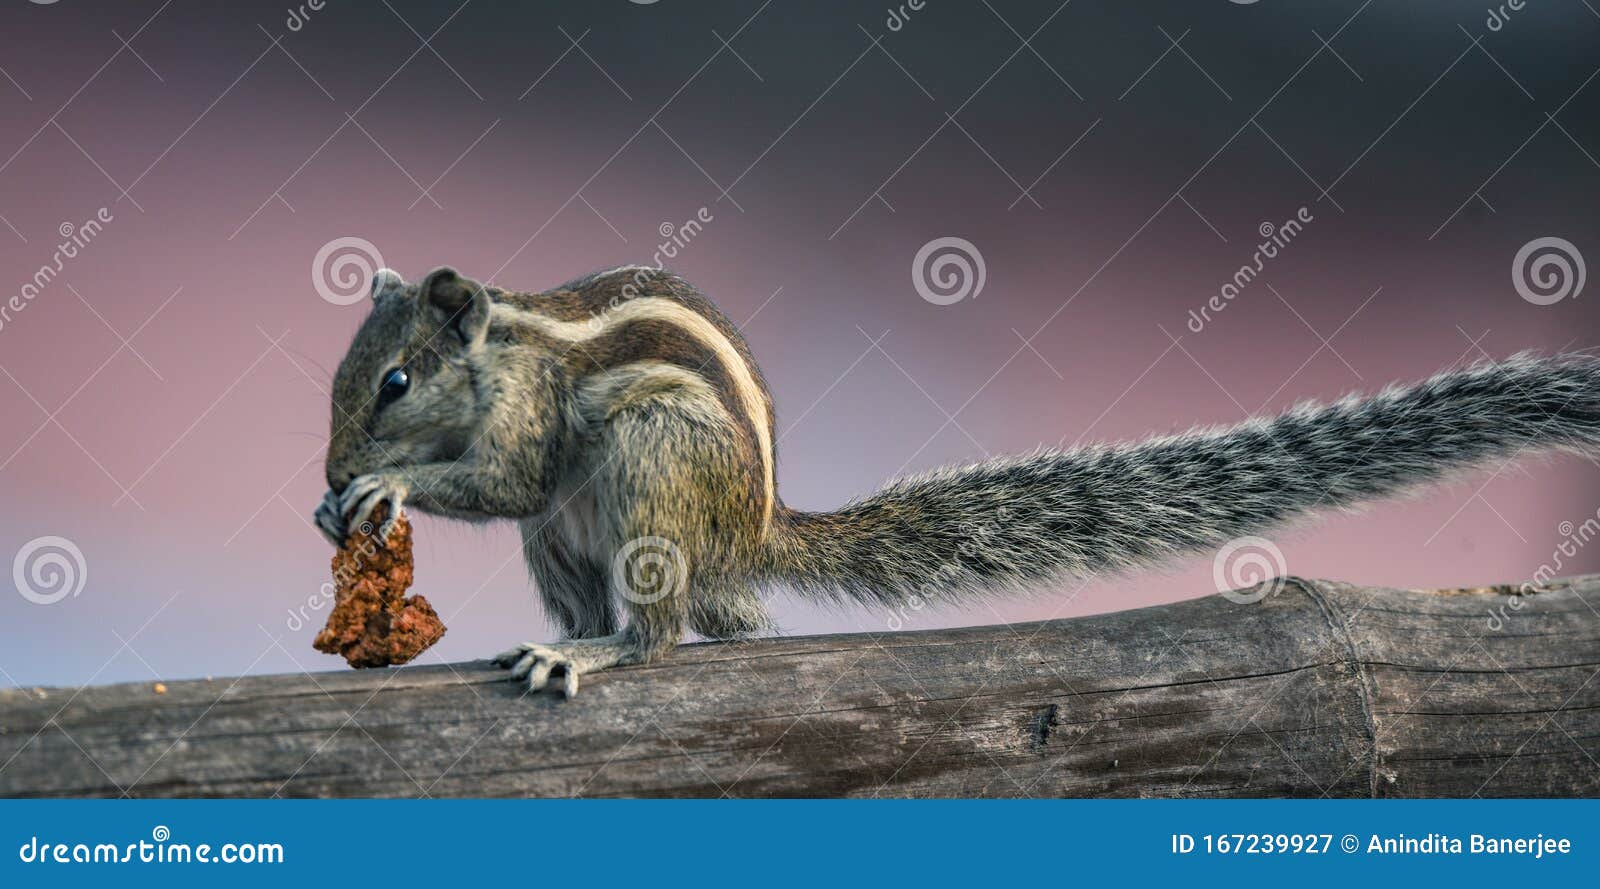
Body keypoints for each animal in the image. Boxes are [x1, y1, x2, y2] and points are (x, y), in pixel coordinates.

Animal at [315, 264, 1600, 696]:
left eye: (393, 381)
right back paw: (558, 637)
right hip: (579, 540)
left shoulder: (534, 419)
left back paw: (590, 653)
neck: (503, 350)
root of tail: (755, 532)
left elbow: (505, 478)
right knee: (712, 620)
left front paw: (389, 493)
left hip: (650, 477)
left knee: (665, 633)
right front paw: (339, 504)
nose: (328, 470)